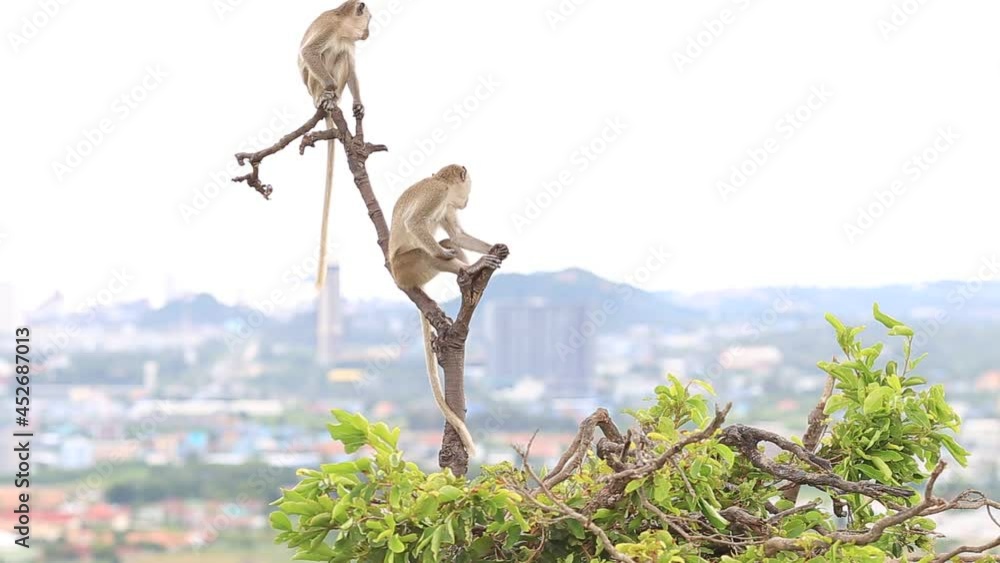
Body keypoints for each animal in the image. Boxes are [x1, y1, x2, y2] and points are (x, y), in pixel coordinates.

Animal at [298, 1, 372, 289]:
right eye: (368, 21)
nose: (368, 33)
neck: (342, 27)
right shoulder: (329, 28)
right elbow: (308, 52)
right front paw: (328, 86)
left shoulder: (348, 41)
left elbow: (351, 63)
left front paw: (359, 104)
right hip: (311, 85)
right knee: (318, 63)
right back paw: (325, 97)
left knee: (342, 59)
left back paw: (338, 98)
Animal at [388, 165, 506, 456]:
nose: (469, 199)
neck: (440, 182)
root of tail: (401, 281)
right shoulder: (439, 194)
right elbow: (415, 224)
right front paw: (454, 257)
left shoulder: (448, 206)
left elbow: (458, 236)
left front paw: (494, 247)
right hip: (408, 266)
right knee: (432, 252)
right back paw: (469, 267)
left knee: (449, 241)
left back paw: (470, 274)